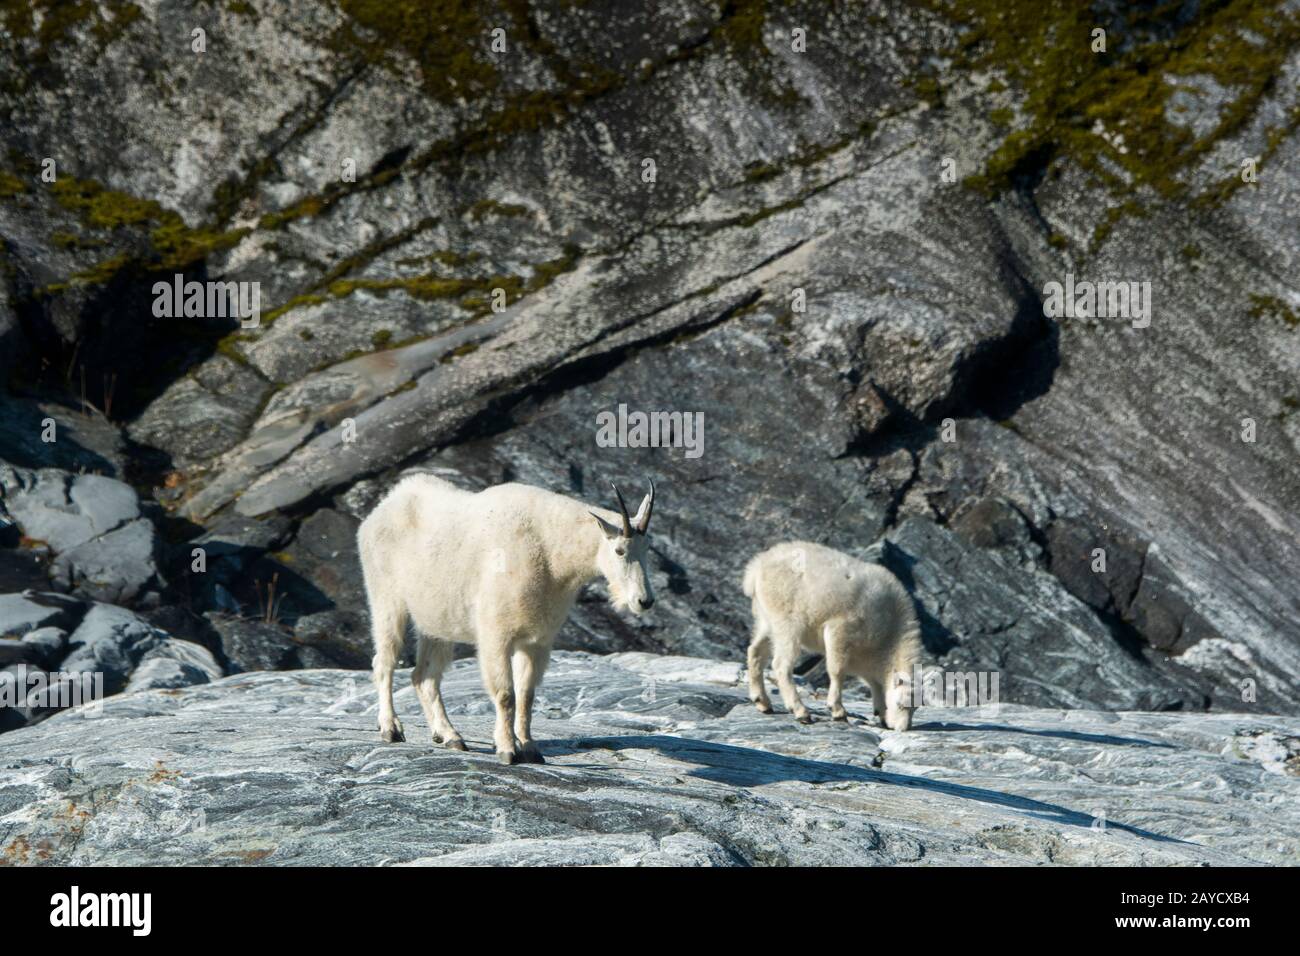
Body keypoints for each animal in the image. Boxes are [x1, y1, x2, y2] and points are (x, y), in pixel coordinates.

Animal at [358, 475, 656, 764]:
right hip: (386, 599)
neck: (551, 553)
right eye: (619, 550)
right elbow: (505, 694)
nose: (644, 601)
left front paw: (530, 748)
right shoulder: (496, 634)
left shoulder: (537, 641)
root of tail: (379, 511)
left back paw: (449, 736)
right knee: (384, 663)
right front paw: (506, 750)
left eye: (647, 548)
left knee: (425, 676)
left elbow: (526, 695)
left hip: (435, 621)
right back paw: (391, 729)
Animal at [743, 541, 922, 730]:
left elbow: (874, 683)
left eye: (916, 708)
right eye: (901, 704)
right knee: (781, 665)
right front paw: (838, 711)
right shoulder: (841, 629)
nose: (902, 728)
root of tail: (756, 569)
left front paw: (881, 714)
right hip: (787, 621)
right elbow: (837, 670)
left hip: (765, 619)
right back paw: (800, 711)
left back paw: (762, 702)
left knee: (755, 651)